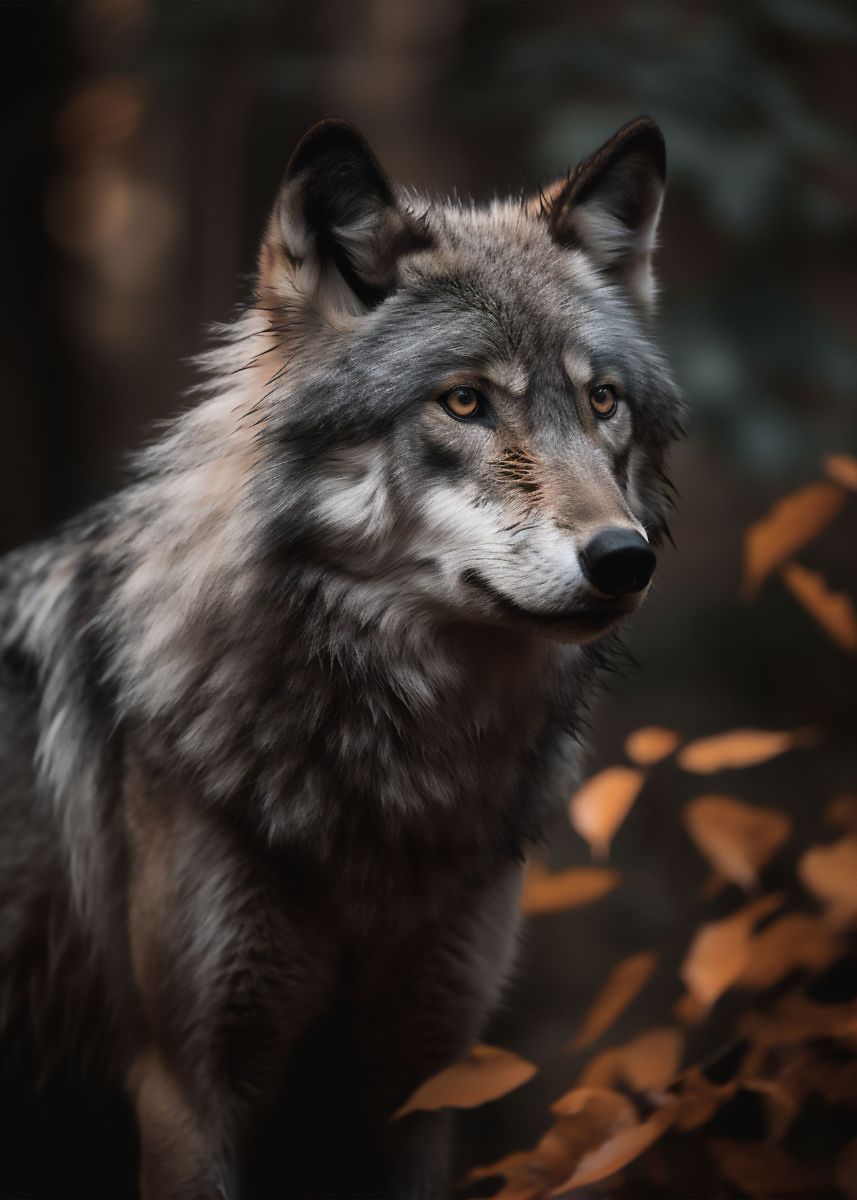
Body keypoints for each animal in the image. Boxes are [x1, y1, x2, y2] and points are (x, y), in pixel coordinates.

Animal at [0, 116, 681, 1198]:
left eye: (602, 401)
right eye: (463, 403)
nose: (624, 558)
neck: (388, 786)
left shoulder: (419, 1078)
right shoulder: (187, 1082)